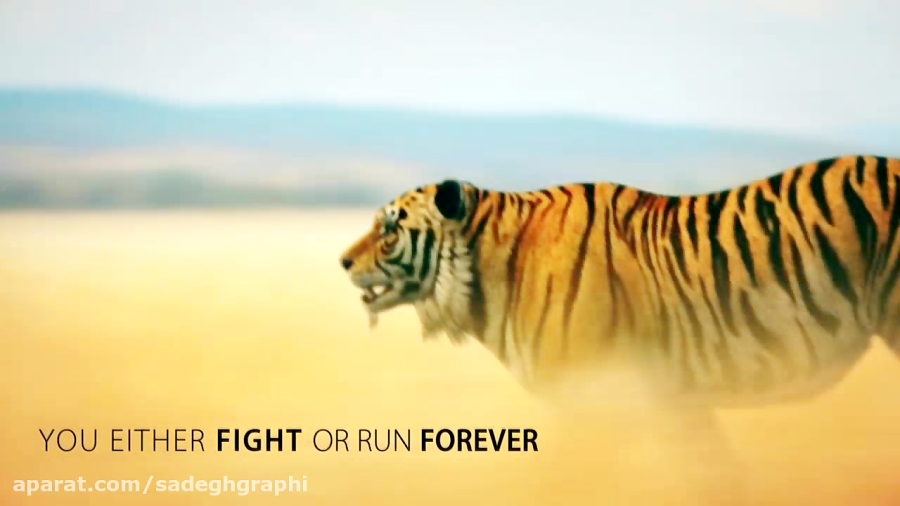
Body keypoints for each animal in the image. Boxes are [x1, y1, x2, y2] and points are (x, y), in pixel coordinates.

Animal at [339, 154, 900, 498]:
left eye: (389, 230)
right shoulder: (676, 403)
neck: (485, 275)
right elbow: (712, 477)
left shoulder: (592, 396)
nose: (342, 262)